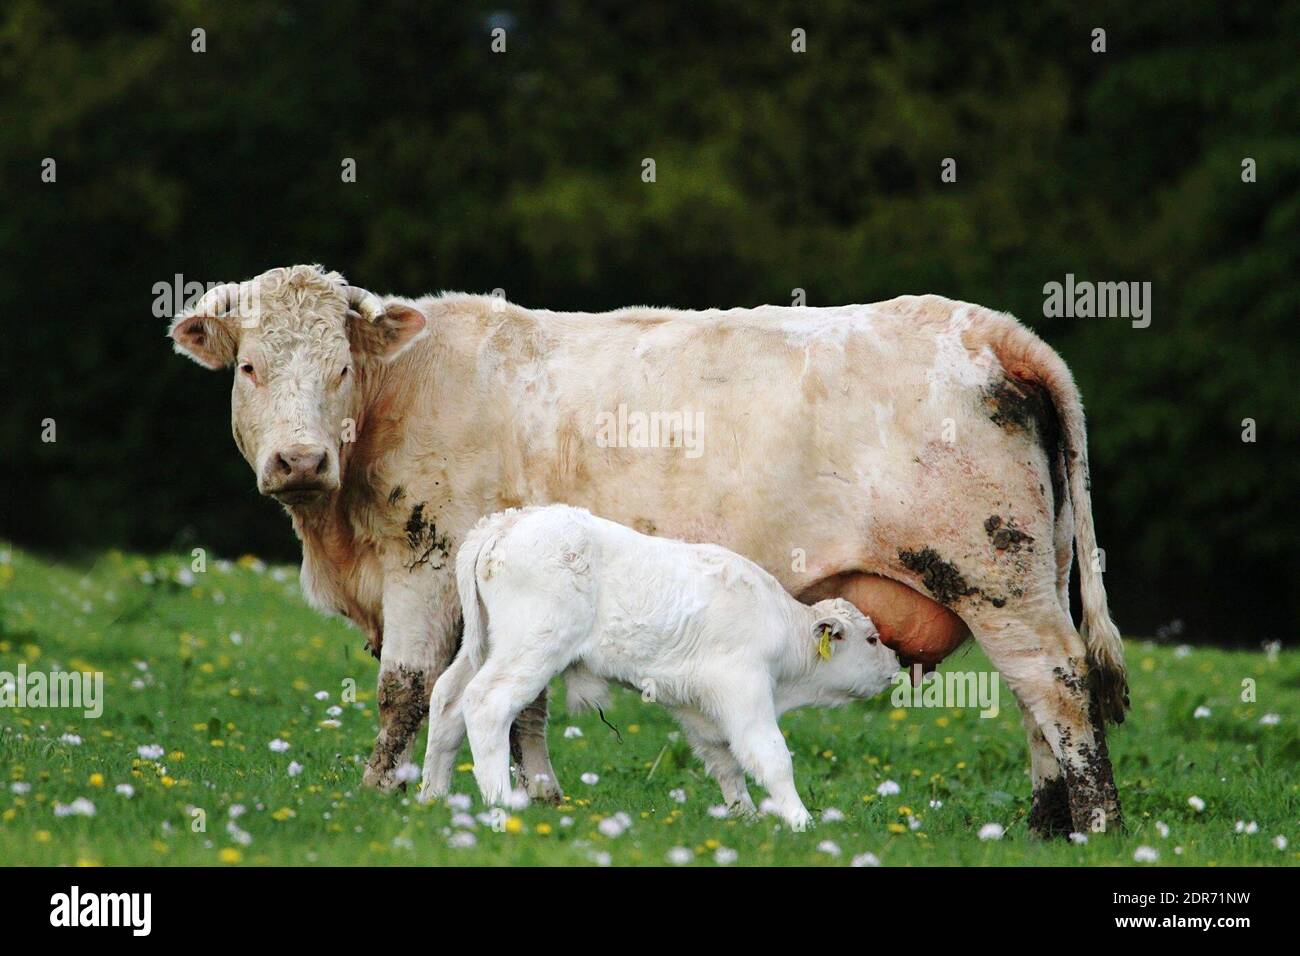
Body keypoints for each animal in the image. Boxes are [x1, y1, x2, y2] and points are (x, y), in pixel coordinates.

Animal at [418, 505, 902, 830]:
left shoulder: (696, 704)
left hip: (483, 647)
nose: (894, 667)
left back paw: (433, 799)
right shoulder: (743, 687)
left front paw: (744, 816)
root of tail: (506, 522)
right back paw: (501, 808)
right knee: (486, 705)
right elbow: (769, 755)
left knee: (447, 701)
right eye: (872, 638)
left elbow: (725, 759)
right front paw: (801, 821)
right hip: (529, 650)